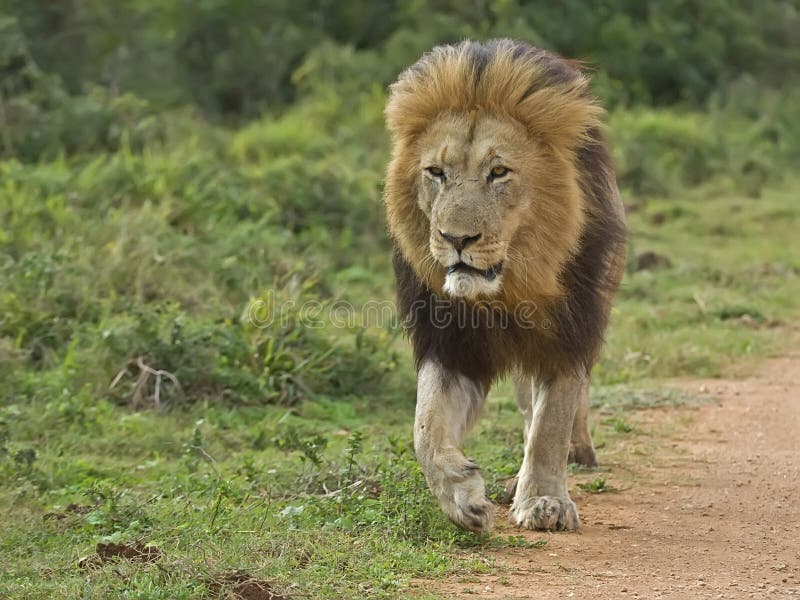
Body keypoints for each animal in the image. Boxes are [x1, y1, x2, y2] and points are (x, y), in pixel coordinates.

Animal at [383, 40, 627, 533]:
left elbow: (552, 421)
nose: (457, 239)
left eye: (499, 173)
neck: (504, 292)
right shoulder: (451, 343)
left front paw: (545, 501)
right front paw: (462, 496)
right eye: (436, 172)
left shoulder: (568, 332)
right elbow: (425, 428)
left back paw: (575, 453)